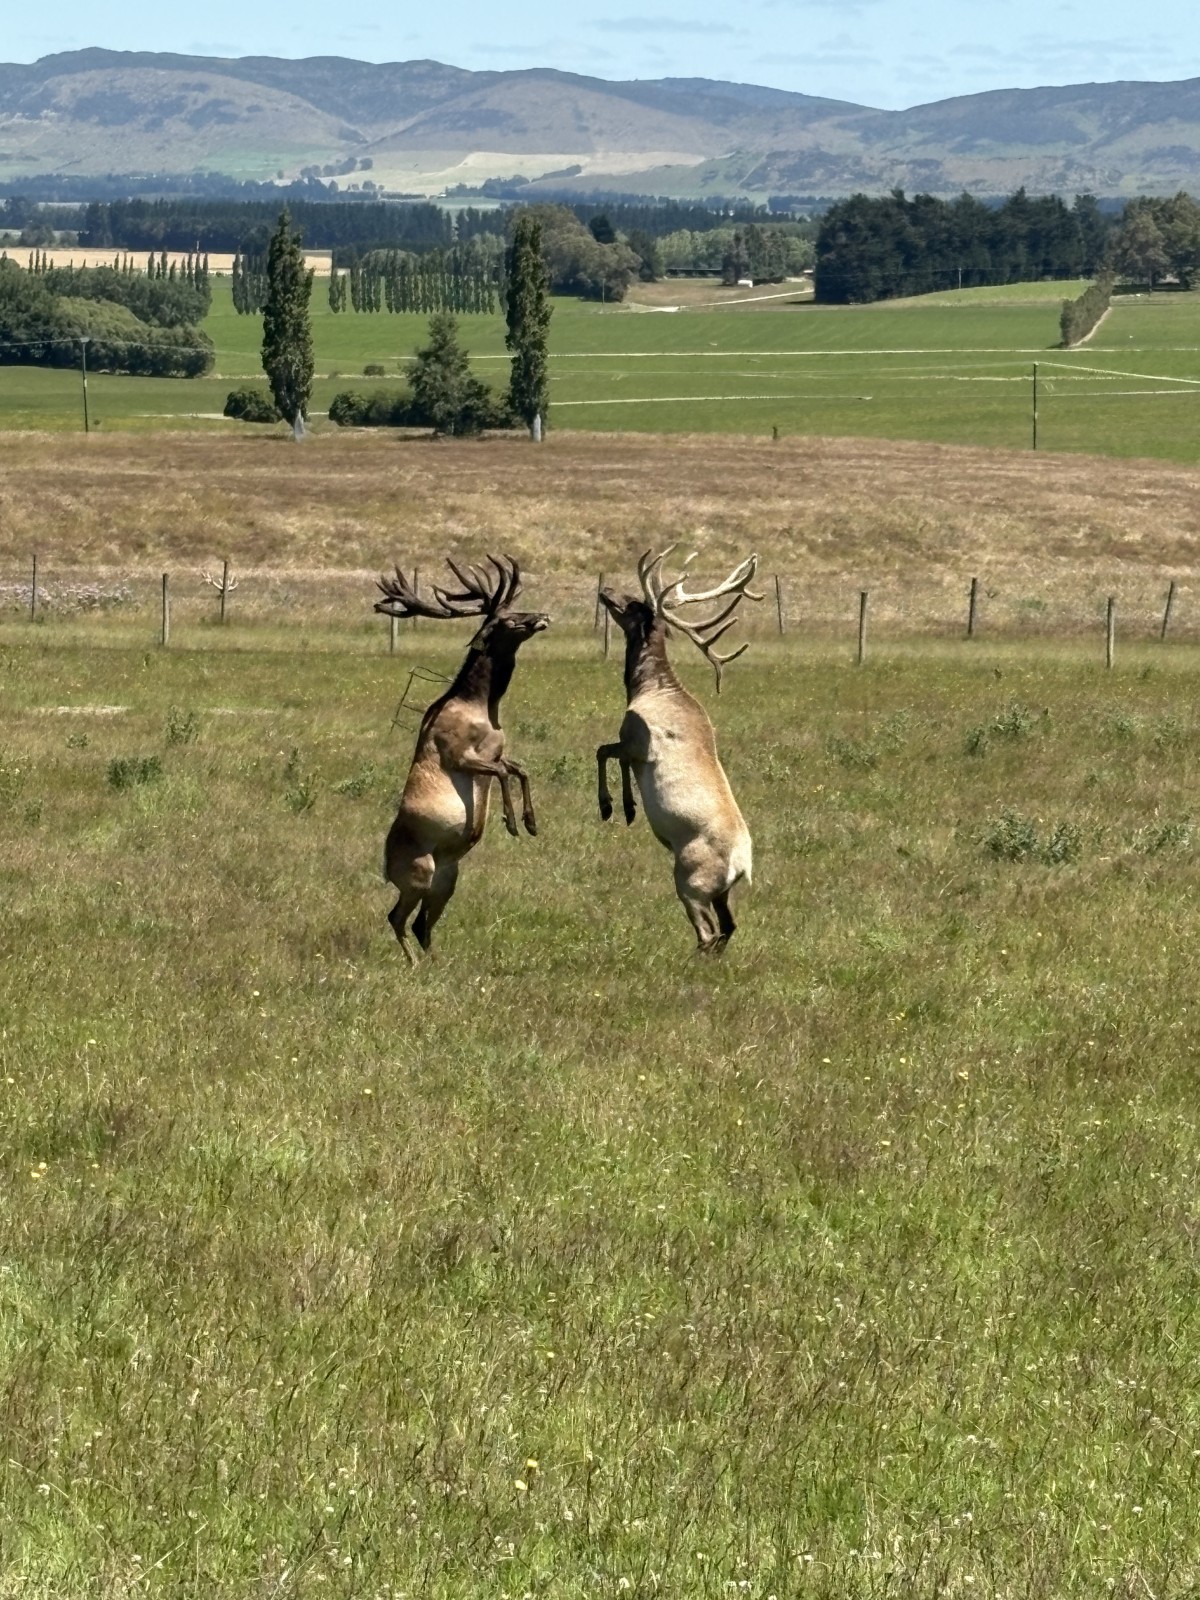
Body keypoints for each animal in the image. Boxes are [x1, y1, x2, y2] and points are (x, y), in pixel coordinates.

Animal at [374, 555, 549, 964]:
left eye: (516, 609)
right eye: (506, 620)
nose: (541, 617)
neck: (484, 707)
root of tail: (385, 867)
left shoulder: (499, 749)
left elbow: (519, 769)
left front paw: (531, 822)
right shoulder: (457, 755)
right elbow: (501, 772)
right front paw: (511, 822)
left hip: (447, 879)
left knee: (421, 924)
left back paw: (437, 962)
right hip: (419, 873)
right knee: (396, 917)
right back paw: (414, 964)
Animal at [596, 546, 760, 954]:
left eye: (635, 603)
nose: (605, 590)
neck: (649, 687)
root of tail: (742, 867)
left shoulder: (636, 741)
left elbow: (604, 752)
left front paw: (612, 806)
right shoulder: (633, 749)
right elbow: (615, 760)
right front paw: (628, 807)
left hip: (690, 878)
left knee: (708, 931)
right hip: (719, 892)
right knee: (728, 927)